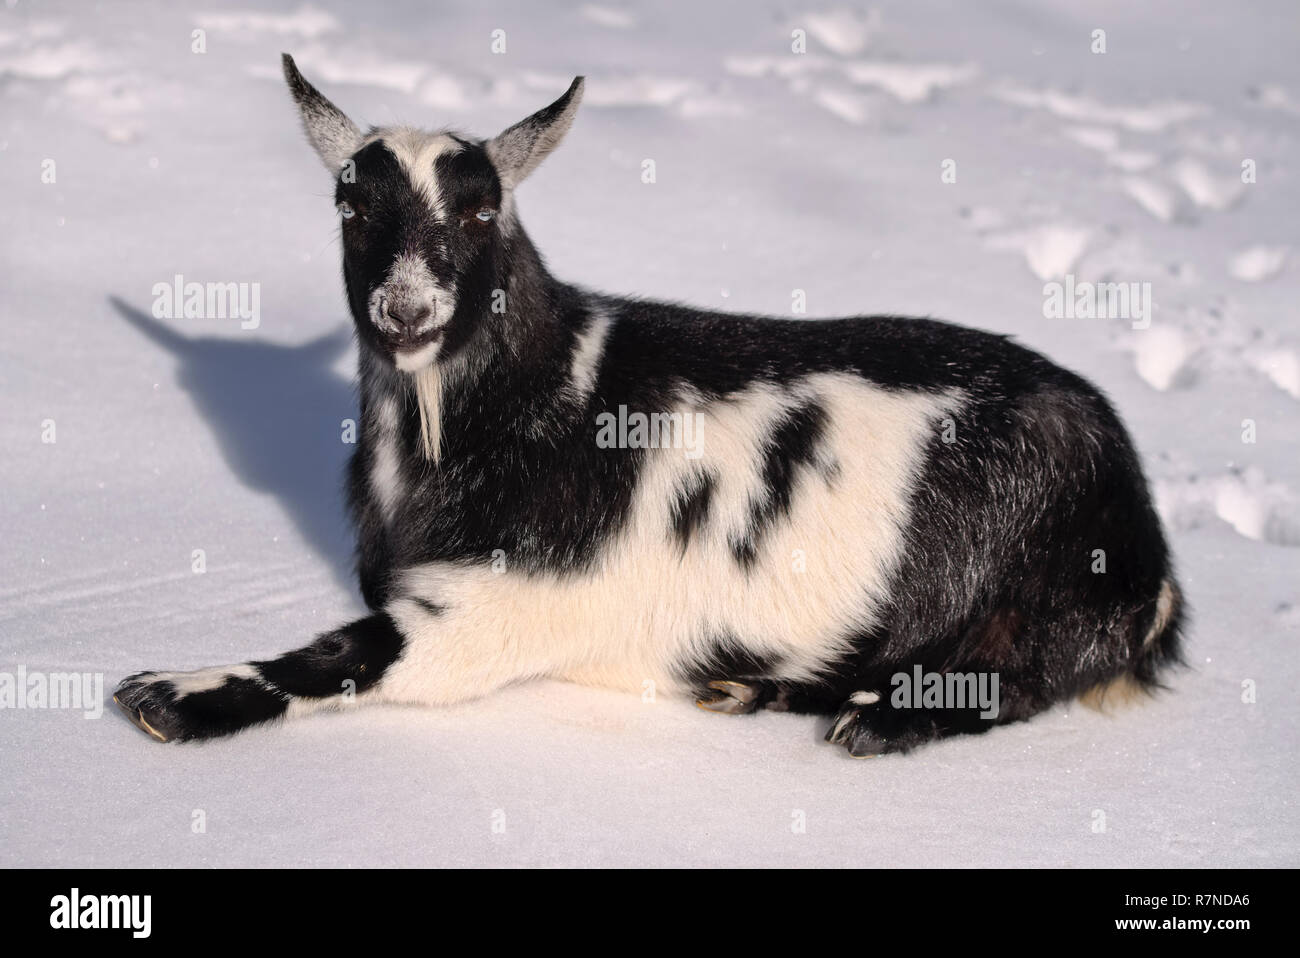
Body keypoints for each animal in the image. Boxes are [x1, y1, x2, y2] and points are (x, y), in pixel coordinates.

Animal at [113, 54, 1184, 756]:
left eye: (482, 209)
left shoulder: (488, 609)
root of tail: (1148, 545)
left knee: (1019, 679)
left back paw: (880, 715)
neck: (535, 392)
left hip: (1047, 604)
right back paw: (751, 689)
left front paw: (172, 693)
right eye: (351, 205)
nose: (407, 310)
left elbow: (347, 657)